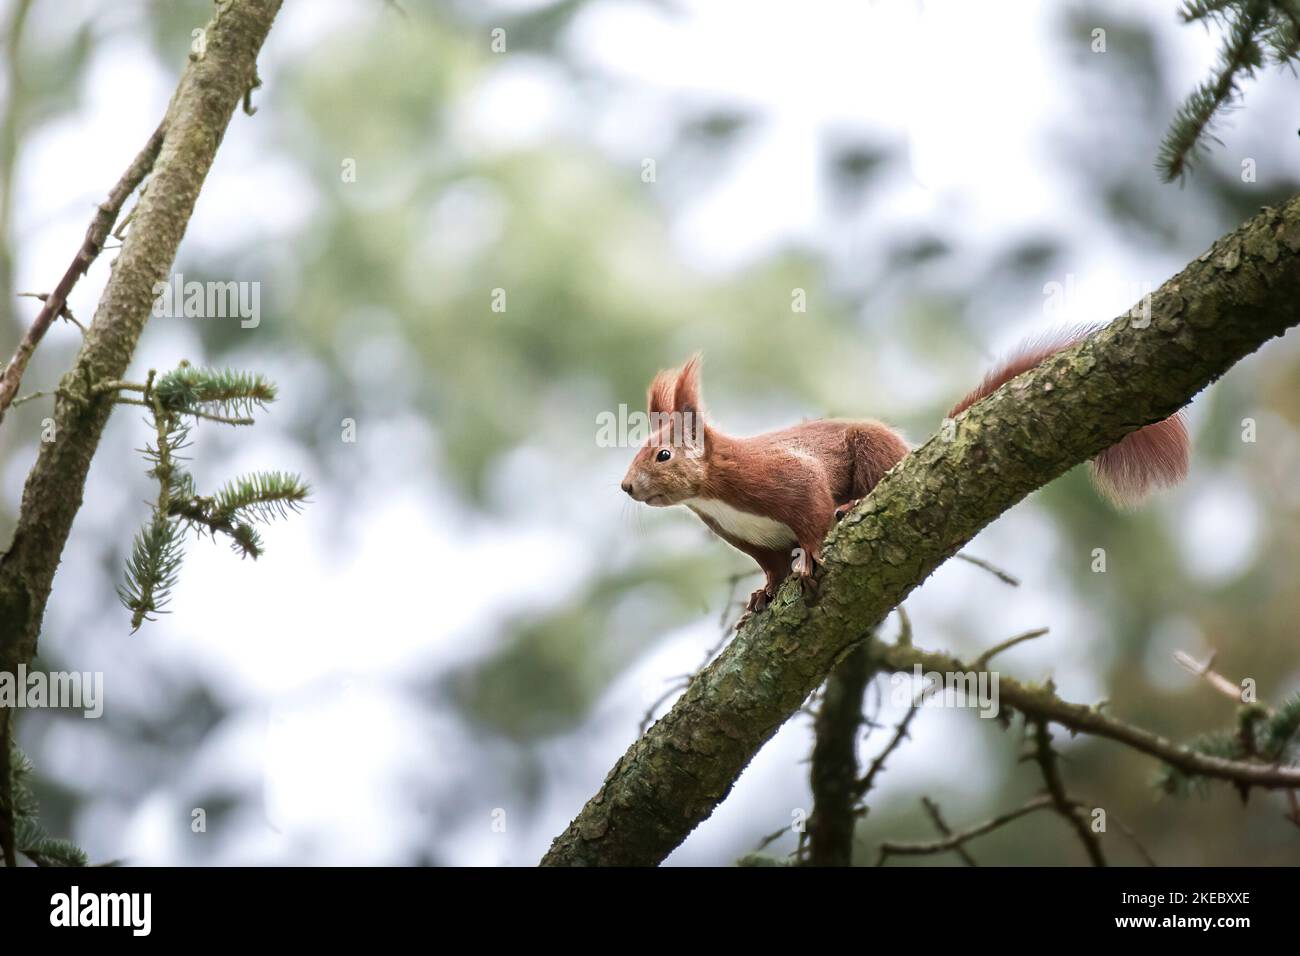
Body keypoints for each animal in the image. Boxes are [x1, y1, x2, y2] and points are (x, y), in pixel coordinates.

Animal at [620, 328, 1189, 616]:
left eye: (662, 456)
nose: (625, 487)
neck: (715, 497)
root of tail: (910, 453)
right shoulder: (750, 536)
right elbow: (771, 565)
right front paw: (763, 593)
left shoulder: (783, 477)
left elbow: (812, 515)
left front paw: (812, 560)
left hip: (872, 452)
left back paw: (854, 504)